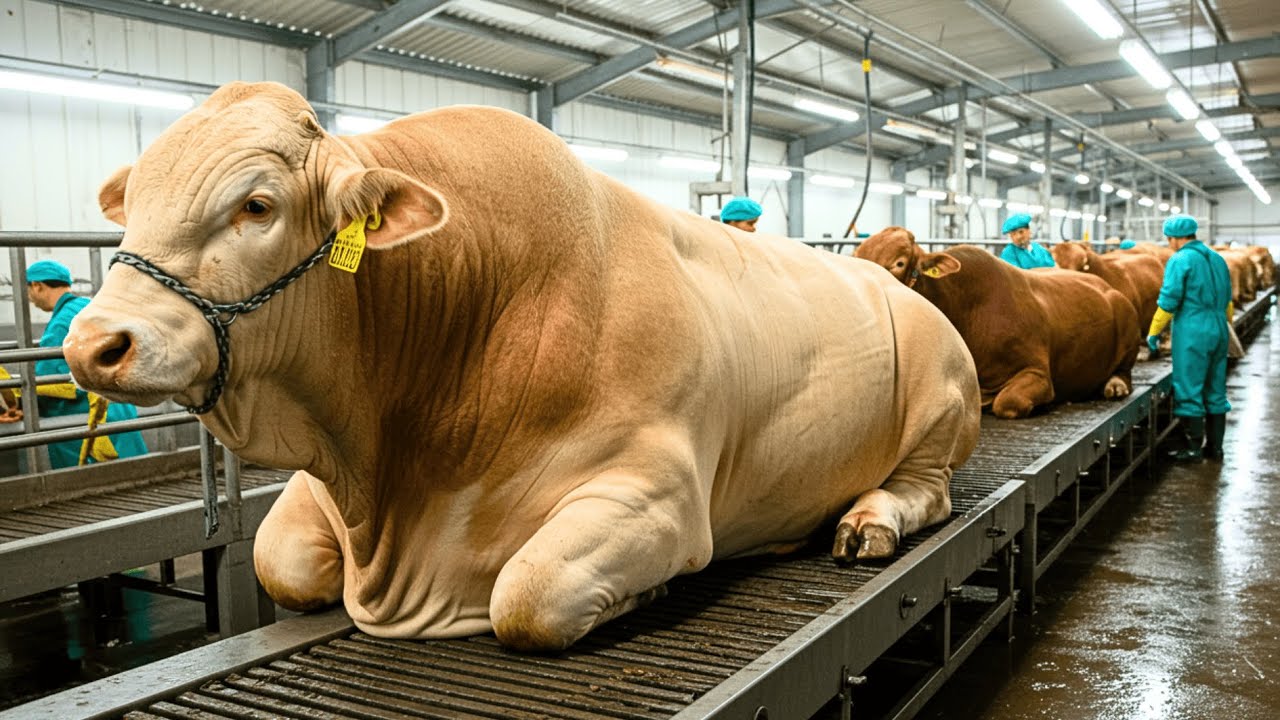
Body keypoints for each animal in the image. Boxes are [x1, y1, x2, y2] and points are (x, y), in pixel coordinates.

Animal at [59, 82, 980, 650]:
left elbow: (527, 596)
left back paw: (868, 522)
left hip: (941, 407)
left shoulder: (657, 494)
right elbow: (277, 557)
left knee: (926, 490)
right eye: (134, 202)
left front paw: (644, 593)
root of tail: (889, 280)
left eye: (257, 205)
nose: (92, 344)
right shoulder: (322, 487)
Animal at [855, 227, 1138, 419]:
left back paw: (1115, 385)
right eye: (856, 255)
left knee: (1124, 370)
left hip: (1128, 328)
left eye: (899, 262)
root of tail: (1106, 285)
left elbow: (1007, 402)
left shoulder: (1038, 373)